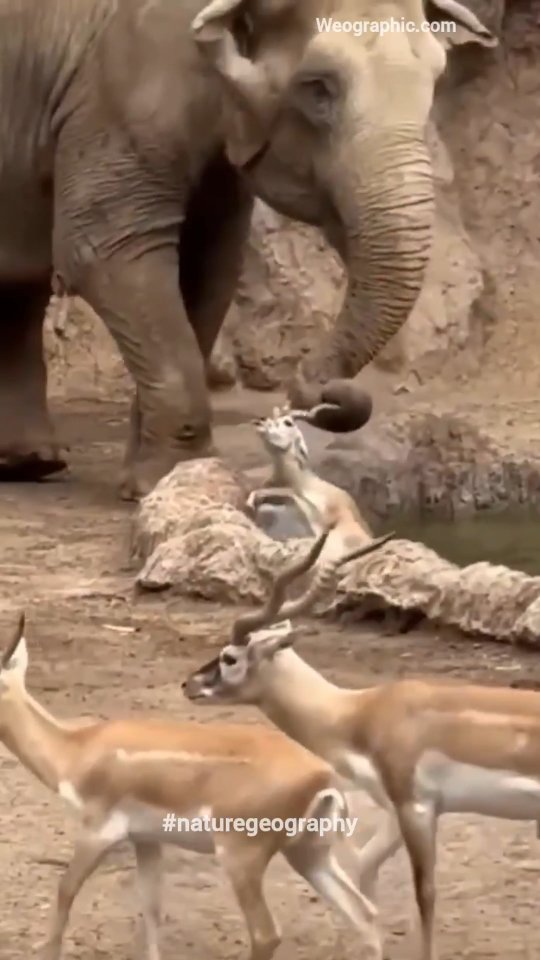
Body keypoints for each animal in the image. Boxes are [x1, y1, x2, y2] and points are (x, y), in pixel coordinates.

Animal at [0, 0, 495, 499]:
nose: (313, 391)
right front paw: (170, 479)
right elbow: (105, 247)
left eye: (434, 81)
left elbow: (209, 259)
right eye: (319, 88)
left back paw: (30, 463)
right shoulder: (120, 85)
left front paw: (164, 479)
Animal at [0, 612, 387, 960]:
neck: (74, 750)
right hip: (307, 851)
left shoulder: (98, 831)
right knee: (365, 913)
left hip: (241, 856)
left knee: (267, 934)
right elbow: (151, 907)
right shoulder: (146, 838)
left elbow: (65, 892)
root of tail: (324, 778)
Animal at [183, 527, 540, 960]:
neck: (357, 712)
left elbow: (425, 893)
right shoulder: (393, 808)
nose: (189, 684)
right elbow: (366, 869)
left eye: (230, 657)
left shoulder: (416, 807)